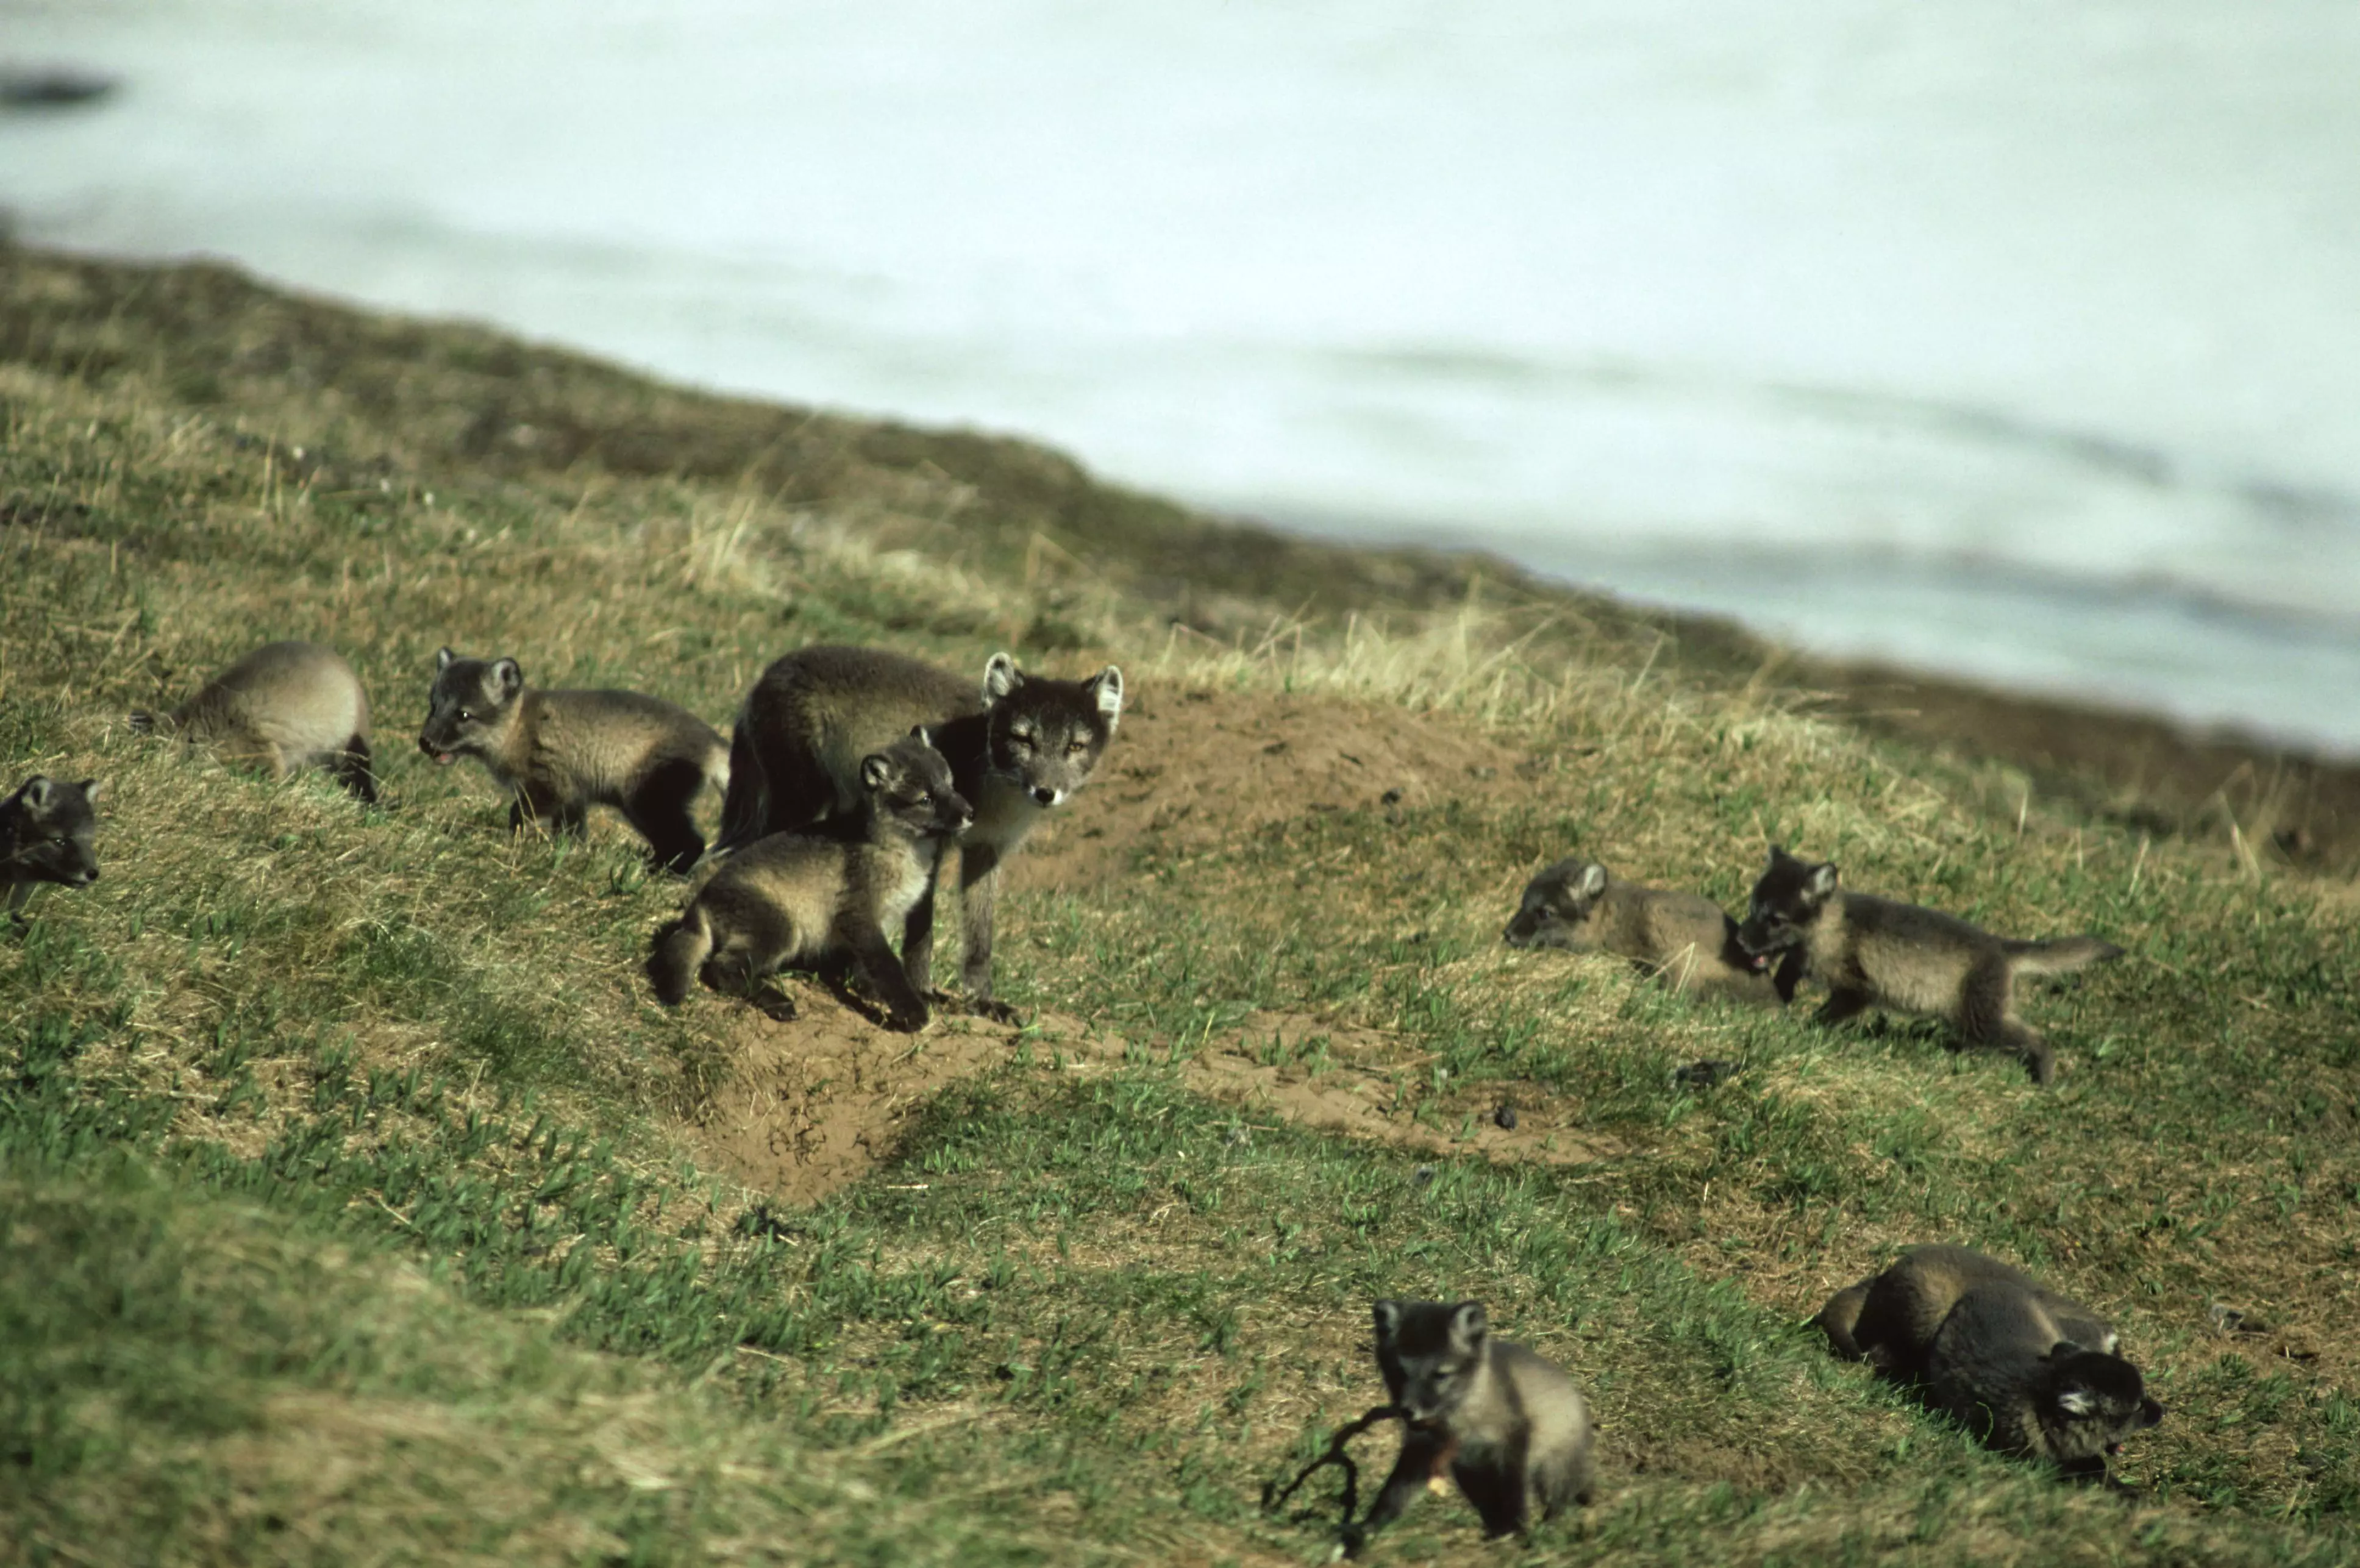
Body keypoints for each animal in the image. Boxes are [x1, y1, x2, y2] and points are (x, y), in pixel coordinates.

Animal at [717, 647, 1123, 1006]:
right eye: (1023, 738)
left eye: (1075, 746)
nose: (1045, 792)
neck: (991, 783)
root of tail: (768, 674)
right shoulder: (932, 844)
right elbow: (921, 928)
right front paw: (922, 990)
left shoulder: (986, 851)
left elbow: (981, 935)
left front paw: (982, 1000)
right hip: (799, 800)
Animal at [1737, 840, 2123, 1086]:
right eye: (1753, 908)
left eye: (1776, 920)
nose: (1740, 940)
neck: (1833, 928)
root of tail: (2001, 947)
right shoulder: (1802, 960)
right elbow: (1788, 969)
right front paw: (1782, 997)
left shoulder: (1859, 990)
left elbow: (1825, 1015)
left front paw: (1803, 1030)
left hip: (1984, 1018)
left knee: (2036, 1039)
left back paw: (2044, 1078)